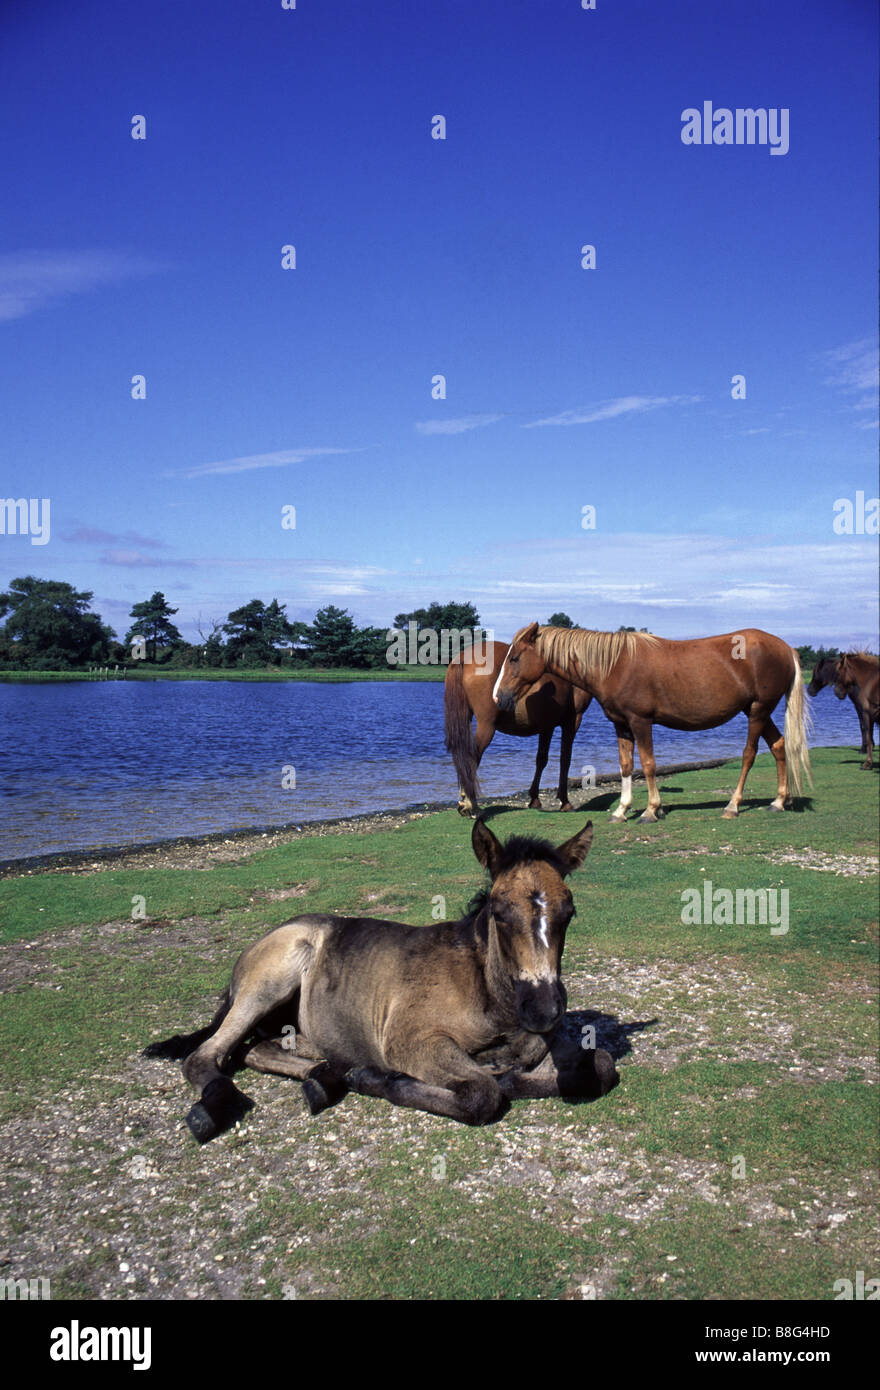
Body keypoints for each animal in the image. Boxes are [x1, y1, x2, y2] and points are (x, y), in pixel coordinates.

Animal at [144, 817, 618, 1141]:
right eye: (500, 913)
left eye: (569, 912)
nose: (544, 1009)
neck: (489, 994)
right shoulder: (408, 1039)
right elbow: (484, 1092)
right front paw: (387, 1081)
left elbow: (600, 1066)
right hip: (272, 977)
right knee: (207, 1055)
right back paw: (219, 1107)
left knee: (261, 1048)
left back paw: (326, 1078)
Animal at [445, 640, 592, 815]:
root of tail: (463, 657)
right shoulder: (572, 721)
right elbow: (565, 760)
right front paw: (565, 801)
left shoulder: (547, 726)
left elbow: (541, 759)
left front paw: (534, 799)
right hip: (486, 726)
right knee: (472, 756)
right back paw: (470, 804)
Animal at [492, 624, 812, 823]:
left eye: (515, 658)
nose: (498, 696)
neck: (614, 665)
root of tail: (785, 648)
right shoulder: (621, 724)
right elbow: (626, 765)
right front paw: (621, 811)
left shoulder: (640, 721)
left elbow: (647, 764)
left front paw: (650, 810)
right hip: (757, 711)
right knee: (779, 746)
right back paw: (779, 801)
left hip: (758, 711)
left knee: (749, 754)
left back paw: (732, 806)